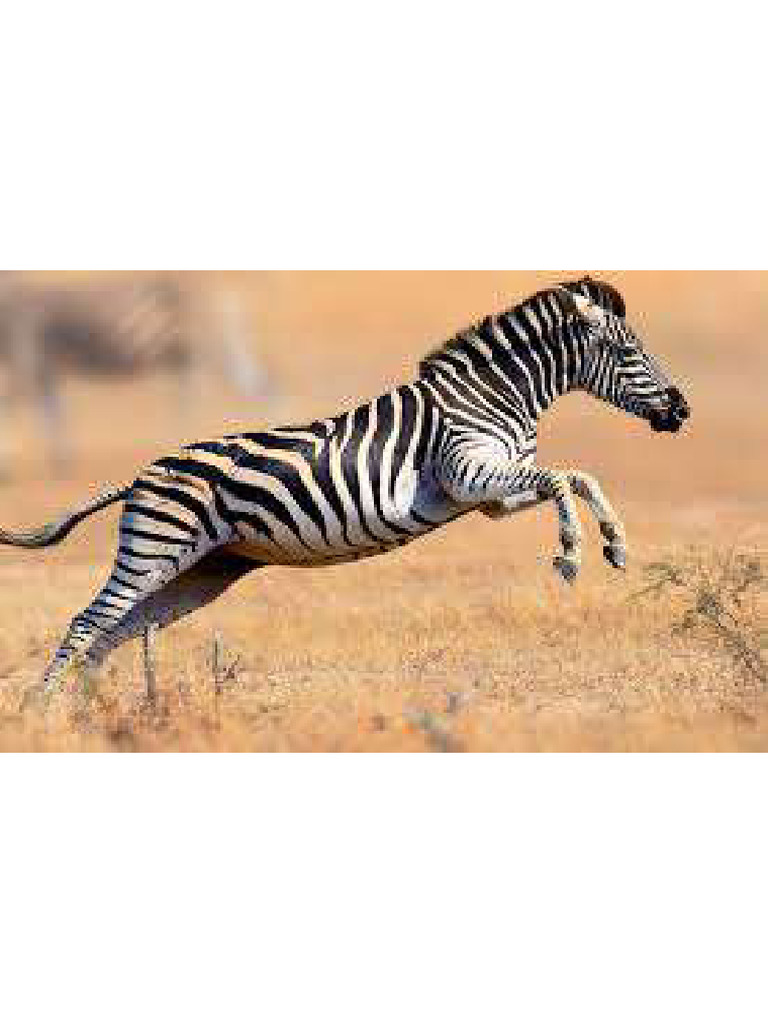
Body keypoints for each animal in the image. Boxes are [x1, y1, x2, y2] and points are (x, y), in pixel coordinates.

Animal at [0, 273, 275, 473]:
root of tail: (221, 294)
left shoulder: (27, 361)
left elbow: (14, 410)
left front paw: (8, 468)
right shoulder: (44, 368)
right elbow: (53, 414)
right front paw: (62, 463)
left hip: (212, 346)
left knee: (264, 387)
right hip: (186, 356)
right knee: (192, 399)